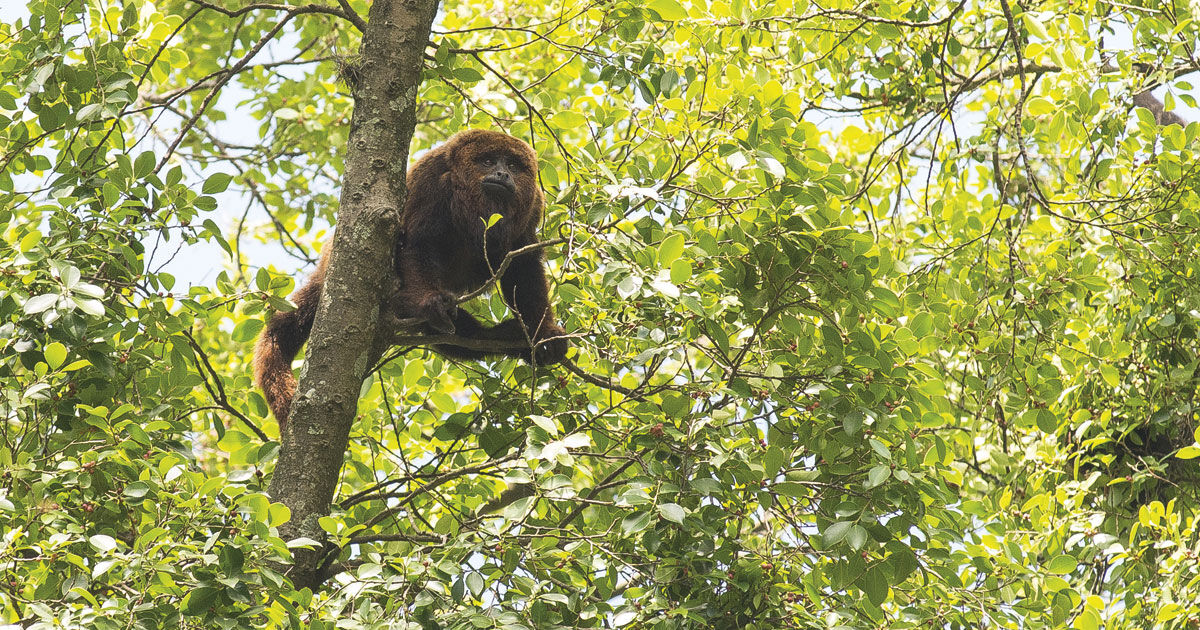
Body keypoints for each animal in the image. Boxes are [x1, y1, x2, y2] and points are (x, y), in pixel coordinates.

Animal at [253, 129, 569, 431]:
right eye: (489, 161)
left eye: (513, 165)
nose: (503, 174)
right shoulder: (434, 181)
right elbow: (419, 243)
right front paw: (431, 302)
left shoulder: (533, 206)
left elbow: (524, 265)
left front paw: (541, 334)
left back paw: (504, 337)